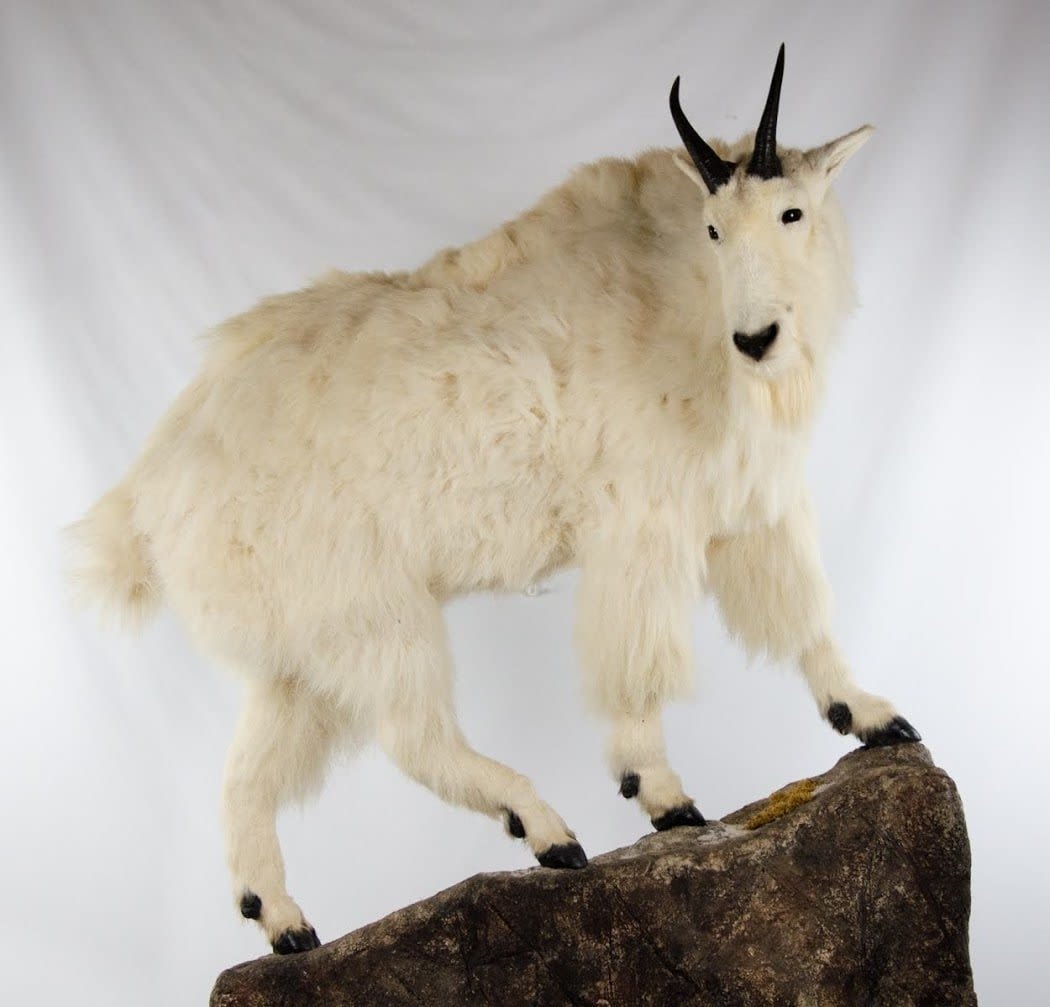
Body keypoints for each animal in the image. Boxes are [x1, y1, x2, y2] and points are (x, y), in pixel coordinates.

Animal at [70, 45, 920, 954]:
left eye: (793, 211)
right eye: (716, 227)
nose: (756, 338)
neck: (687, 303)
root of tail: (150, 494)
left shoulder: (754, 510)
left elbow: (806, 619)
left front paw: (873, 716)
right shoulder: (644, 527)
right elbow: (641, 663)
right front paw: (663, 796)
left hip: (296, 654)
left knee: (247, 779)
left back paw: (285, 921)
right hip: (375, 614)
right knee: (412, 737)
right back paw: (544, 827)